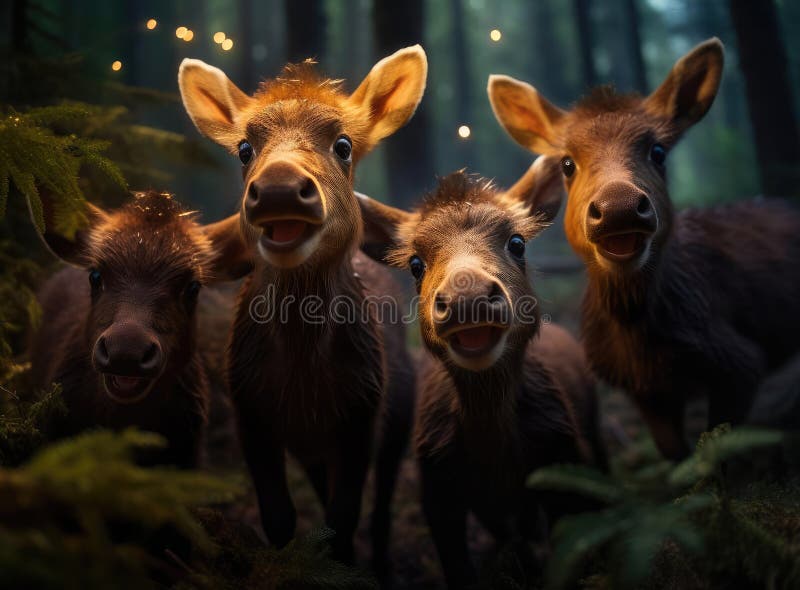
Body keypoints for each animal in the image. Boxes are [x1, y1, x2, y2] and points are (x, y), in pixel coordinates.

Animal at [177, 47, 425, 567]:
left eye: (344, 145)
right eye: (244, 148)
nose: (279, 188)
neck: (303, 380)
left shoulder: (361, 414)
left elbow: (342, 519)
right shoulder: (251, 412)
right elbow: (281, 519)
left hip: (401, 410)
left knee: (383, 506)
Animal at [357, 160, 605, 588]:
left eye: (517, 243)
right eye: (415, 264)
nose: (467, 296)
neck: (495, 453)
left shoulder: (564, 458)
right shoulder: (437, 487)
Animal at [488, 38, 800, 460]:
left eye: (658, 151)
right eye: (567, 163)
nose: (618, 206)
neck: (639, 340)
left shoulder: (740, 362)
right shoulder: (640, 388)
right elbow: (677, 455)